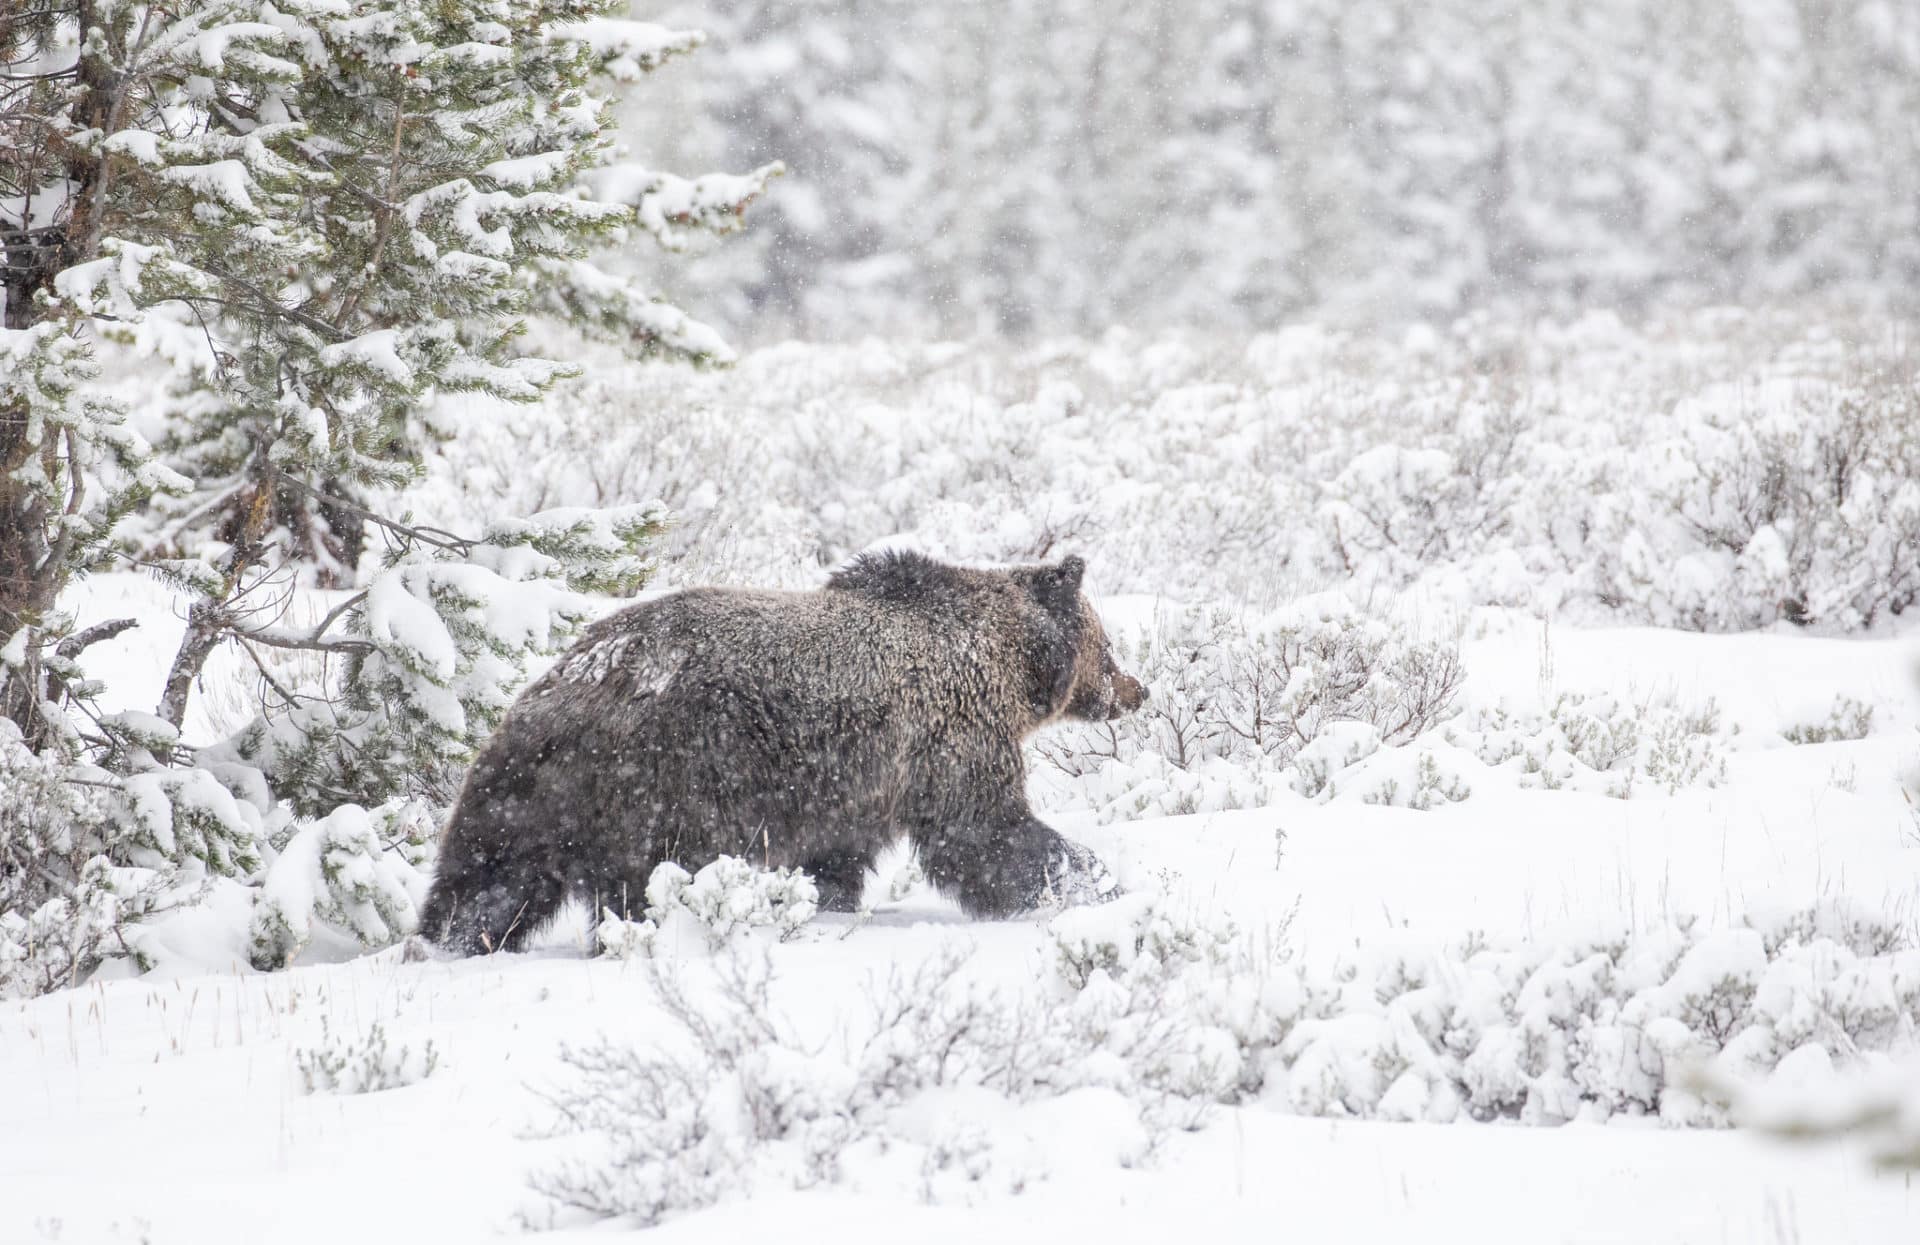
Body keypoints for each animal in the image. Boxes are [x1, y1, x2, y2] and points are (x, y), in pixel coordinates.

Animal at [417, 551, 1147, 954]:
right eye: (1109, 646)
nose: (1135, 689)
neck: (1008, 666)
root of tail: (566, 685)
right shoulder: (946, 735)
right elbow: (985, 831)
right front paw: (1091, 879)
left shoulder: (847, 782)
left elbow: (836, 859)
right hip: (663, 783)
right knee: (643, 884)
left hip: (522, 789)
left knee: (483, 877)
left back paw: (448, 942)